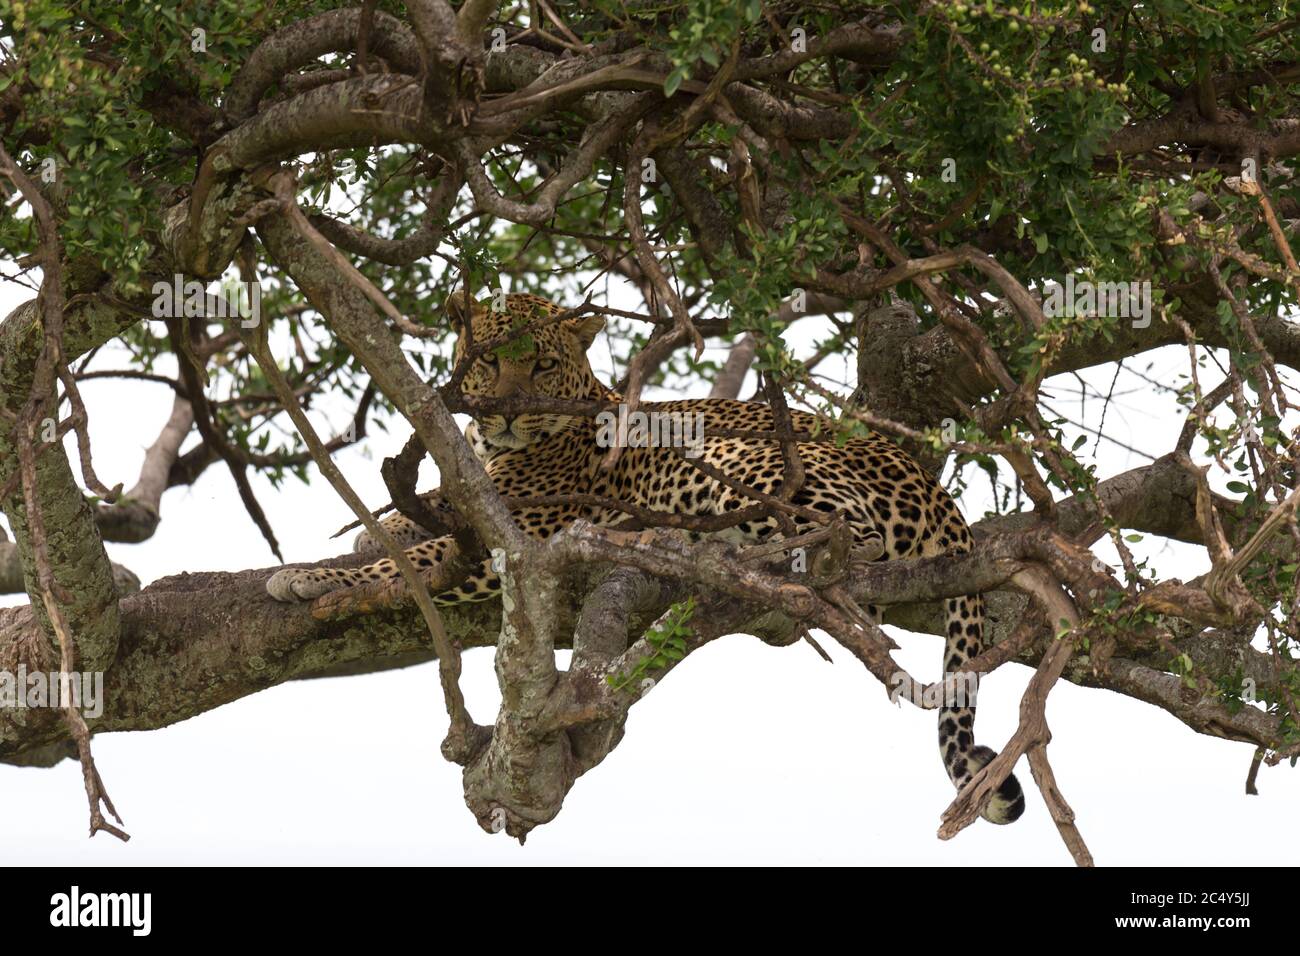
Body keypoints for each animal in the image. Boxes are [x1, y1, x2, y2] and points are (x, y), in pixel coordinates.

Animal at [267, 291, 1025, 825]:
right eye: (489, 358)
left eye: (540, 364)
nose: (506, 407)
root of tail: (935, 489)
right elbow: (412, 524)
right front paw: (374, 530)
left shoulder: (521, 538)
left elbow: (413, 563)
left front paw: (308, 575)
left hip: (724, 457)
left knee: (844, 535)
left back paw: (695, 544)